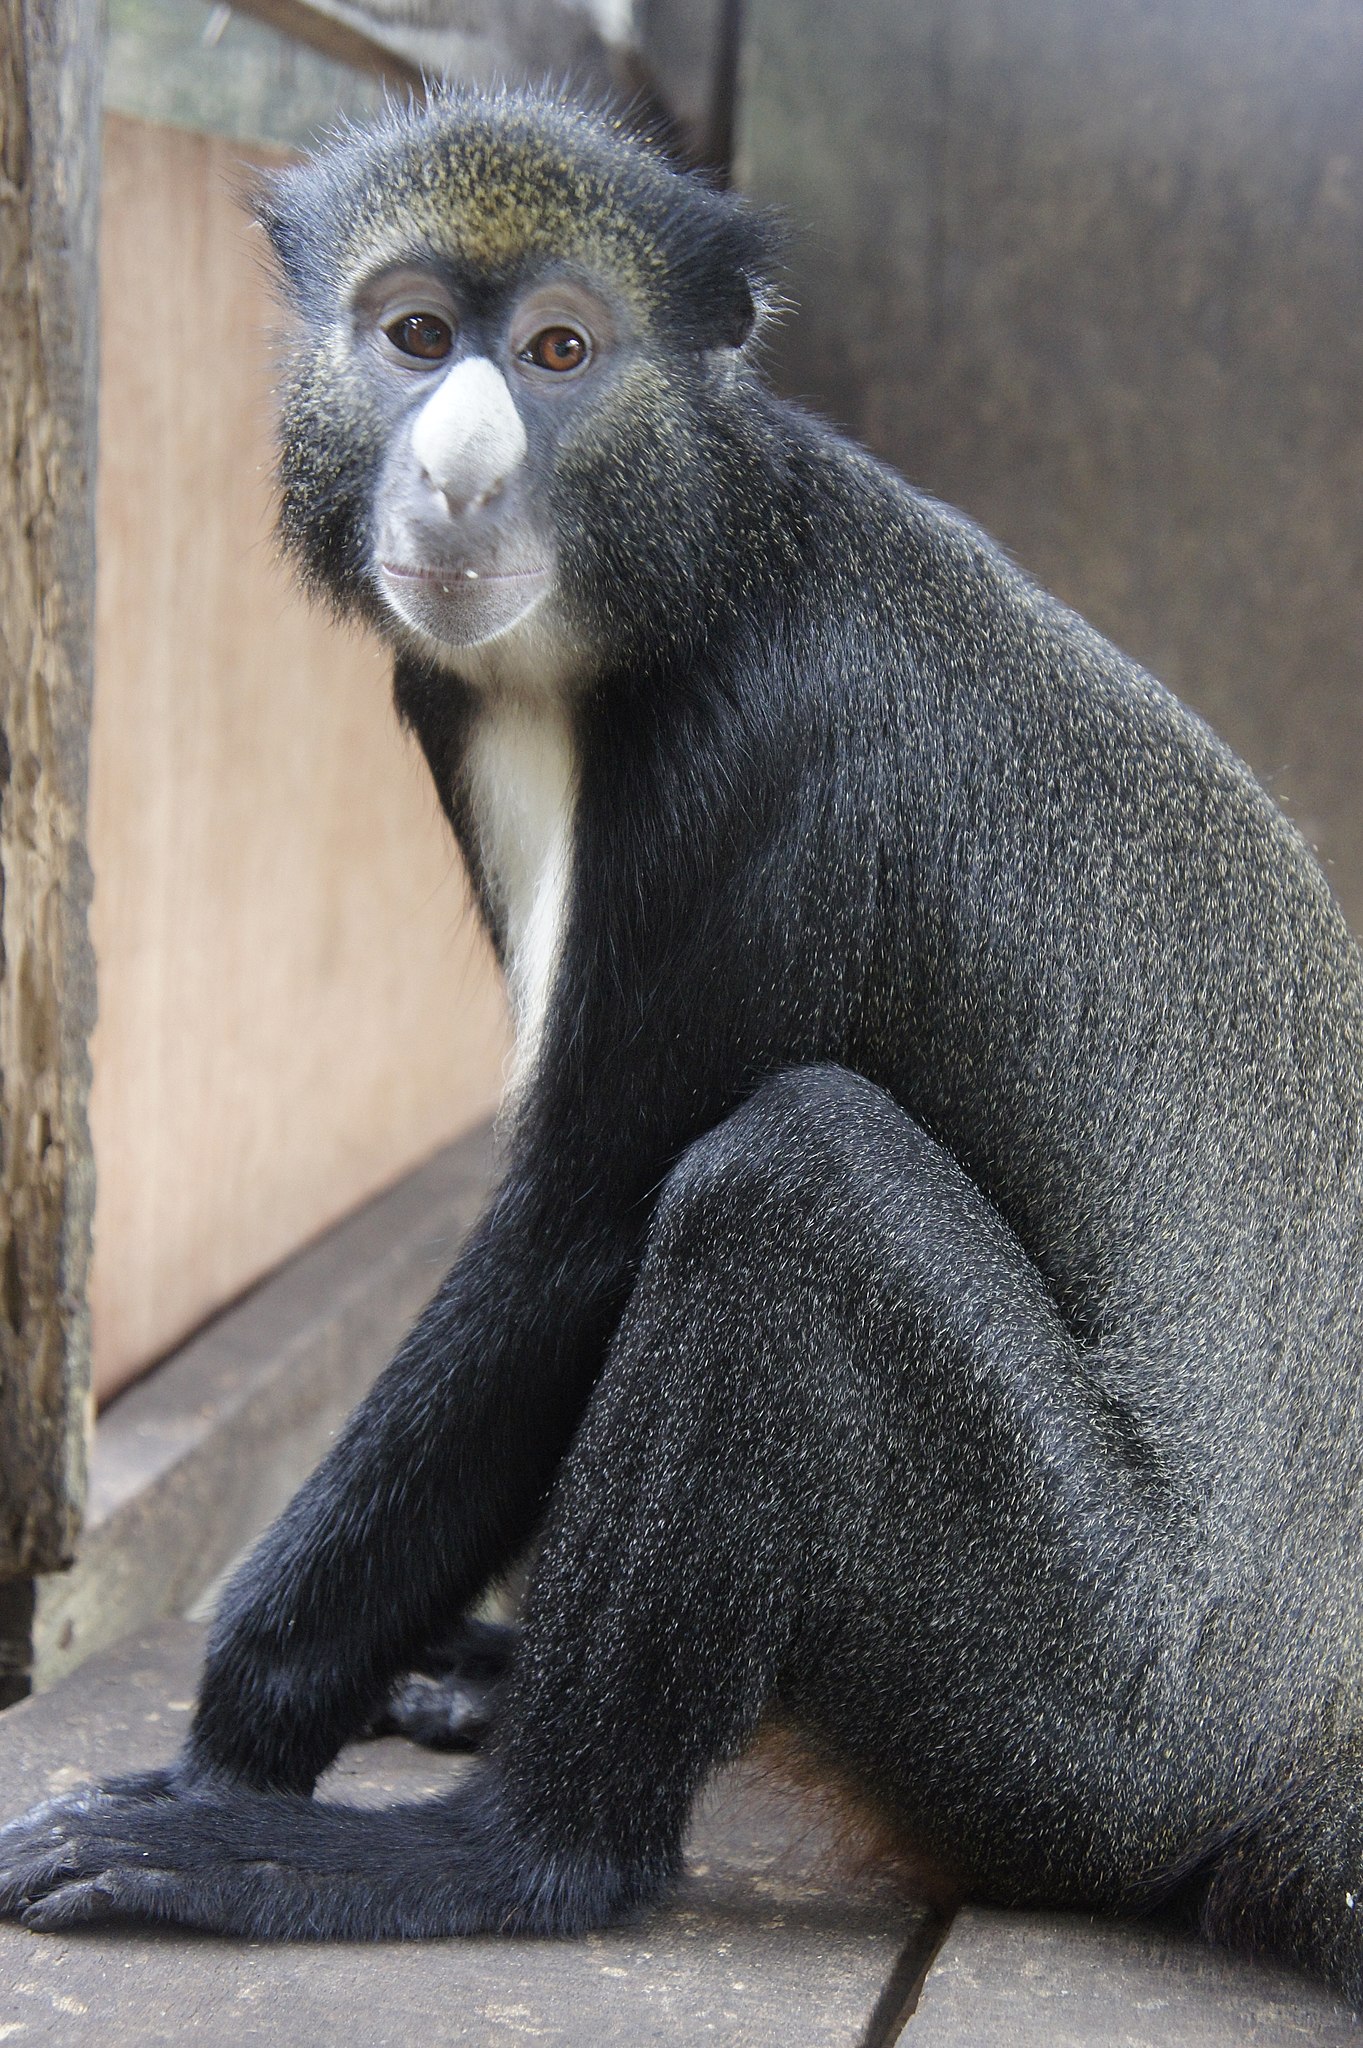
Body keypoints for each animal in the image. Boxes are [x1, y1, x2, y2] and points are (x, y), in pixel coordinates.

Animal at [2, 84, 1363, 2005]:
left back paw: (508, 1852)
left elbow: (581, 1228)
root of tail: (1273, 1756)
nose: (457, 468)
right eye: (414, 335)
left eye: (561, 351)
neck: (695, 557)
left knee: (787, 1184)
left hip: (1083, 1717)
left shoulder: (752, 755)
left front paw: (235, 1741)